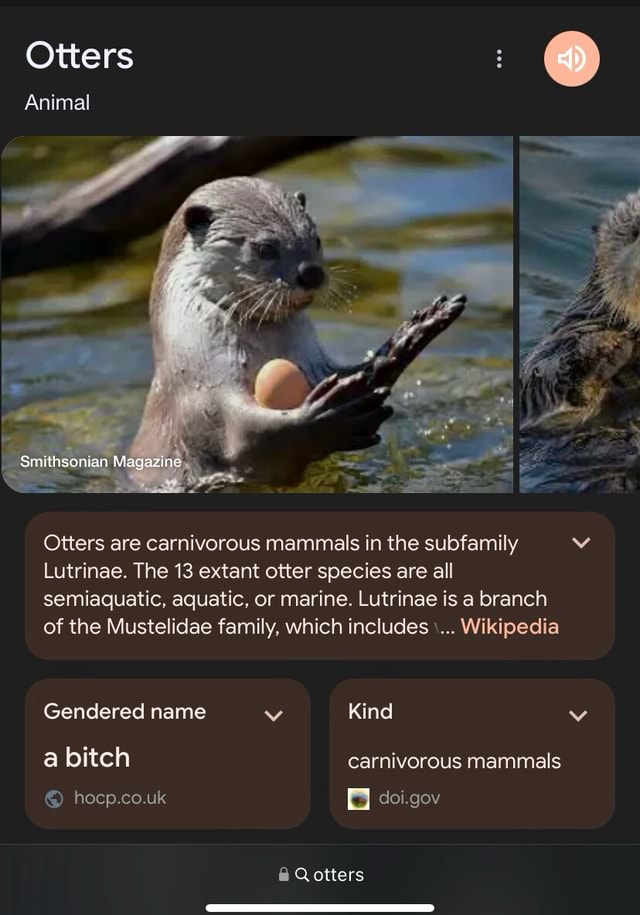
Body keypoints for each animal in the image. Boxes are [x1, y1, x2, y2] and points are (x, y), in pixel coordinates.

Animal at [129, 177, 466, 489]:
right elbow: (252, 438)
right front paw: (326, 417)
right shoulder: (204, 391)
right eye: (265, 248)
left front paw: (410, 336)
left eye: (316, 239)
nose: (311, 273)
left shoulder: (315, 361)